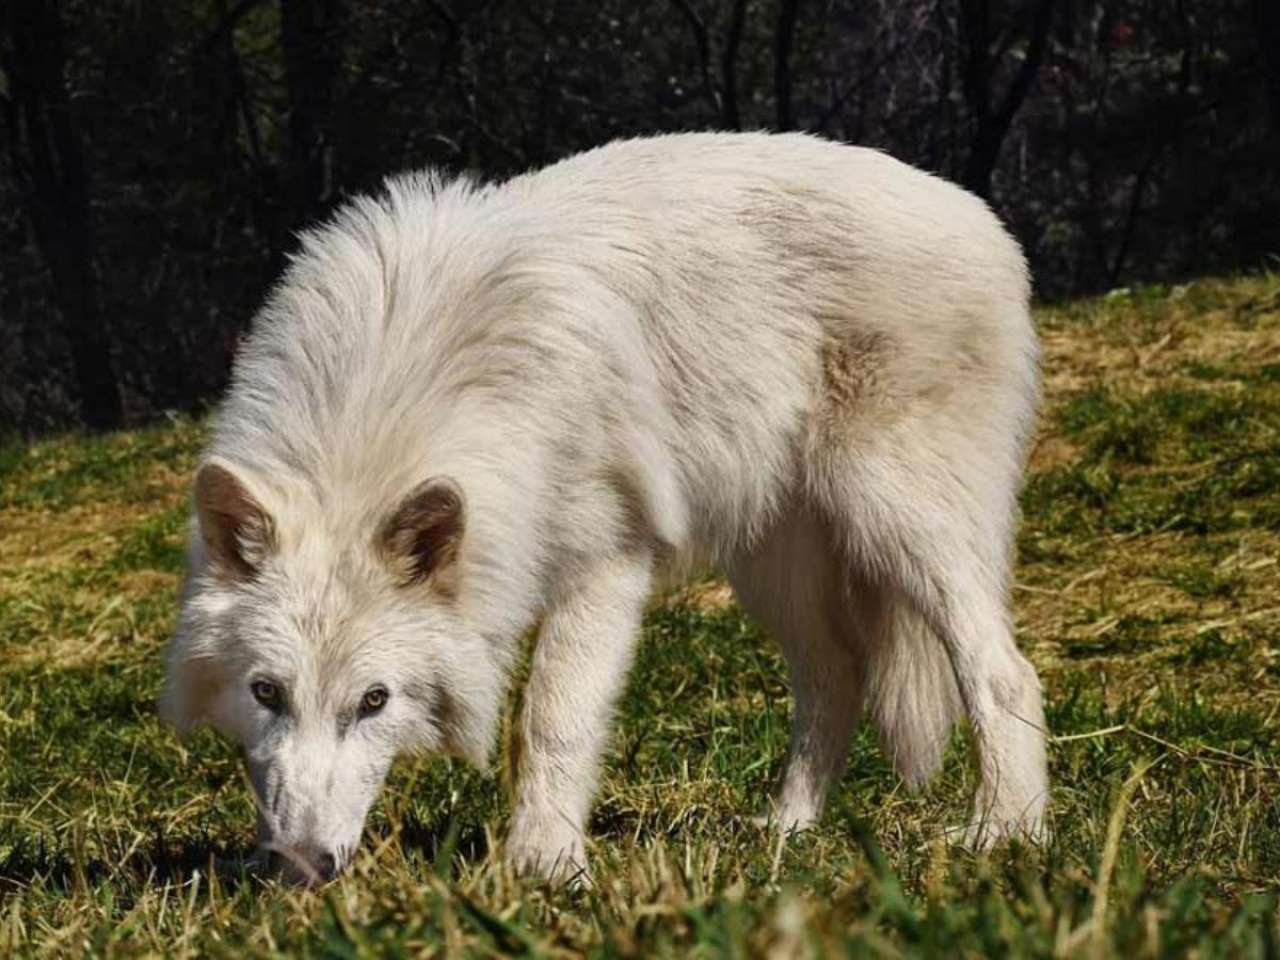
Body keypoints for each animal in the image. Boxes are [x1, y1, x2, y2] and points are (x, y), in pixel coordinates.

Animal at [161, 132, 1047, 885]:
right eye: (266, 693)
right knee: (836, 679)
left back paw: (1007, 832)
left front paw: (545, 867)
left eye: (374, 701)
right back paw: (788, 831)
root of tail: (982, 219)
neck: (402, 390)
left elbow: (553, 718)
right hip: (775, 566)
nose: (299, 869)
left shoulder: (608, 563)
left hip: (899, 524)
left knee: (1004, 671)